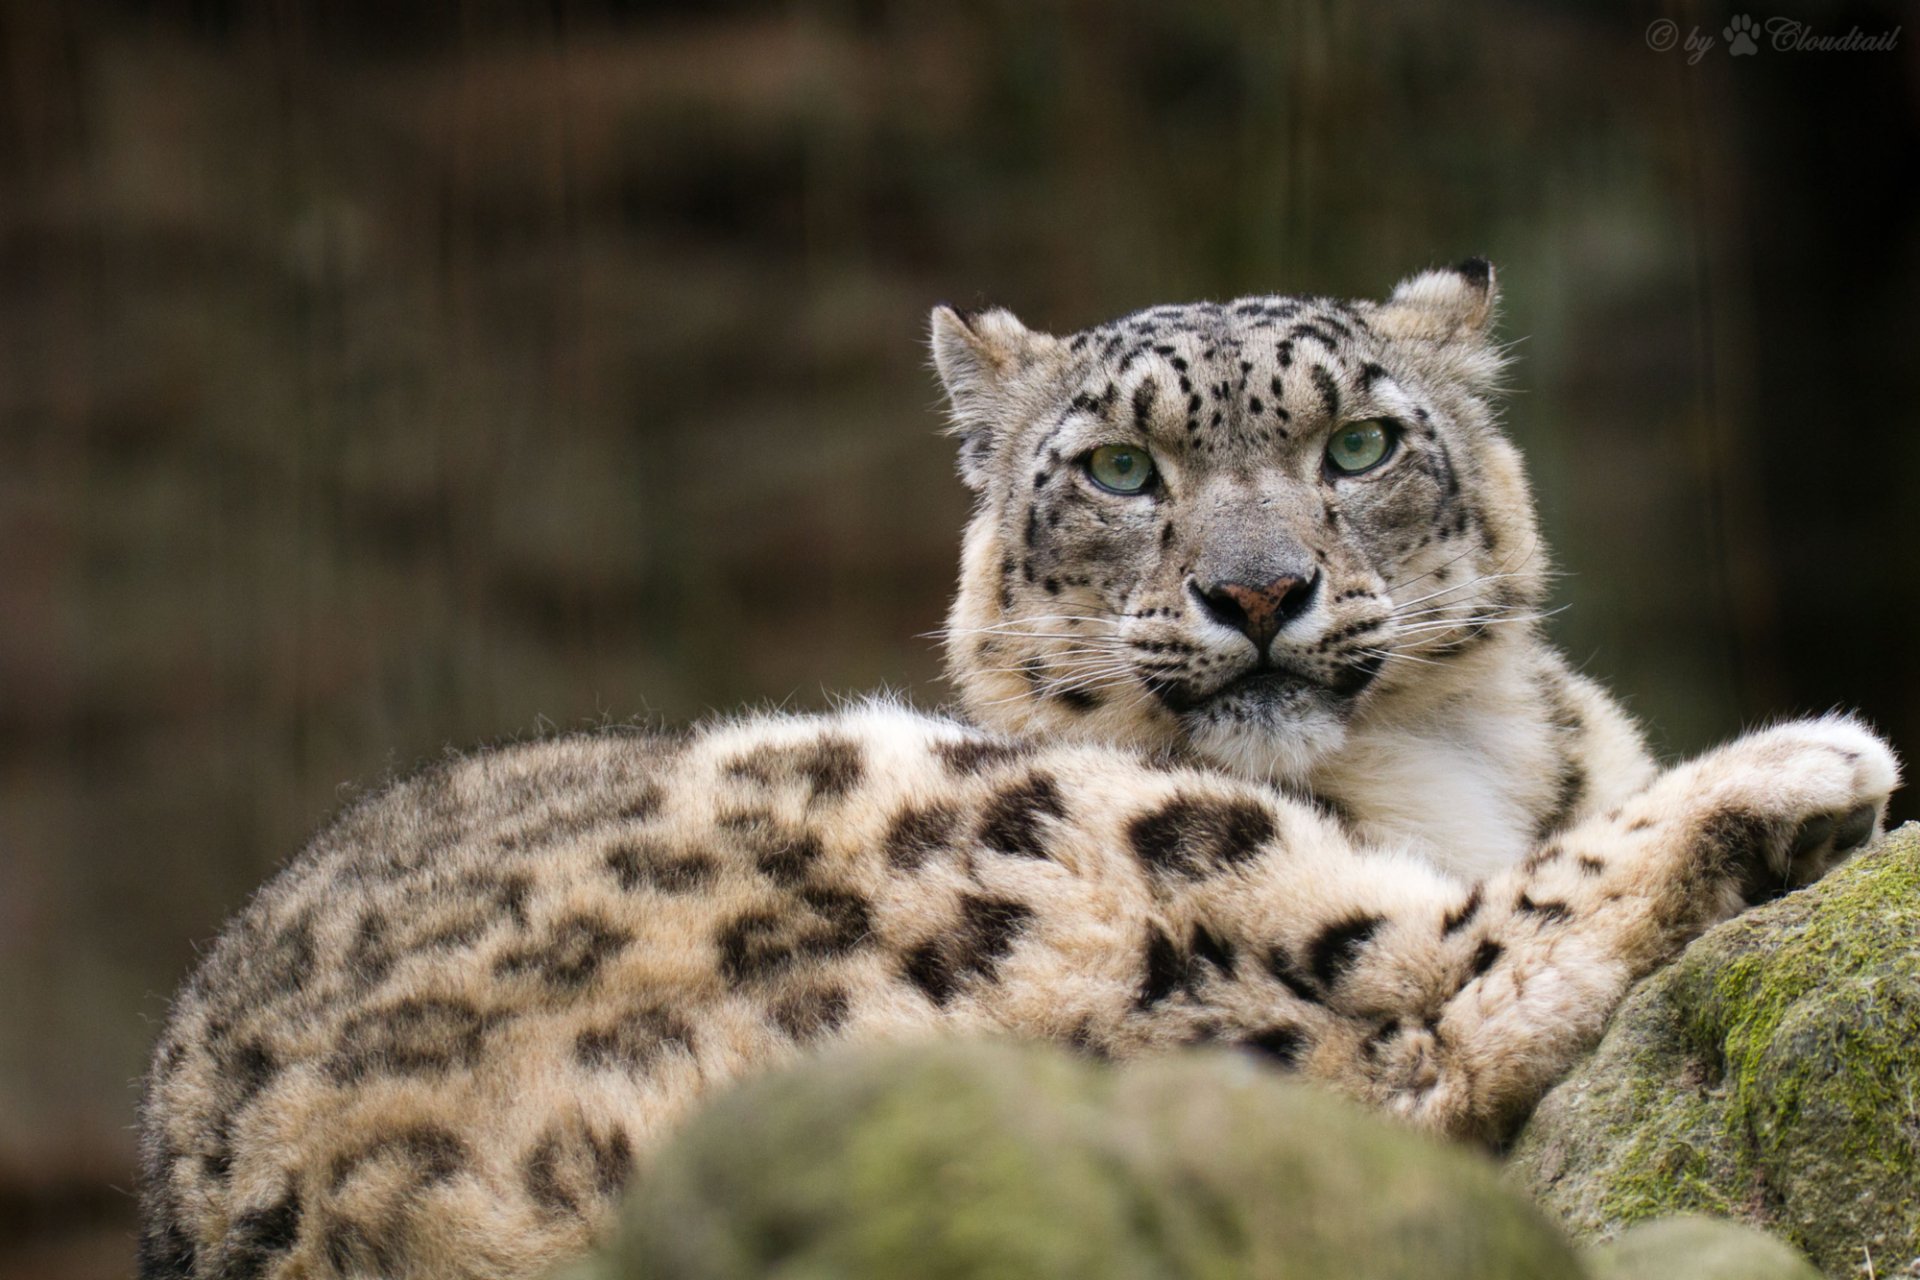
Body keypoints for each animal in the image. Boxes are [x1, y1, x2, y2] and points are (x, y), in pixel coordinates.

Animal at [136, 264, 1900, 1280]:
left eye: (1359, 446)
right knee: (1411, 1009)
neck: (1437, 758)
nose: (1259, 592)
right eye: (1120, 468)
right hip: (1011, 826)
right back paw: (1811, 768)